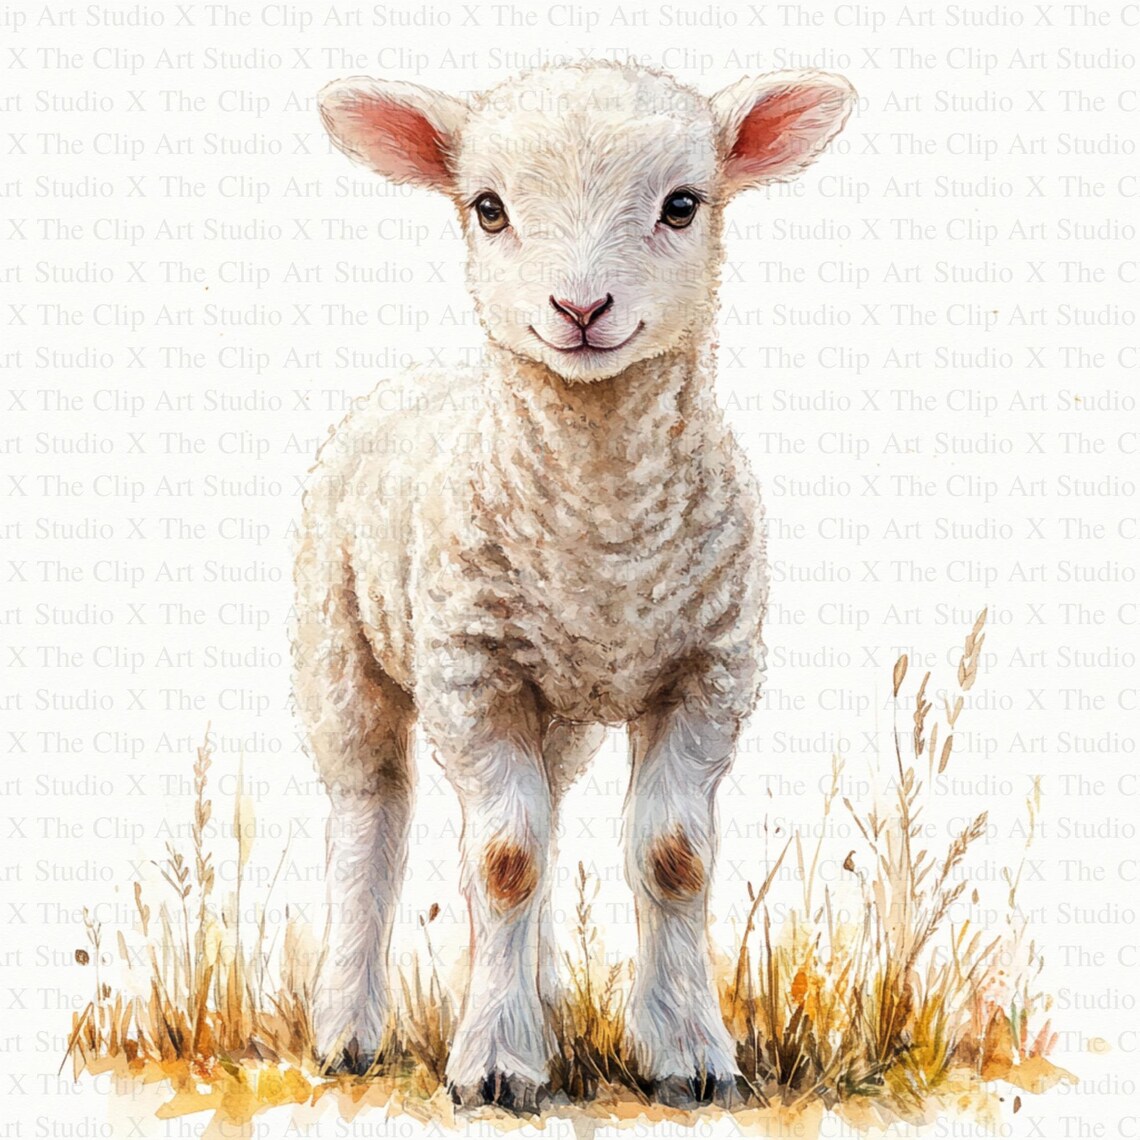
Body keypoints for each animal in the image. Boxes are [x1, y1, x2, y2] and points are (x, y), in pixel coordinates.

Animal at [293, 60, 854, 1111]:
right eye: (488, 208)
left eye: (682, 205)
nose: (580, 309)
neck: (604, 547)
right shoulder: (473, 673)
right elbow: (505, 862)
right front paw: (495, 1065)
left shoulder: (708, 671)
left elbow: (672, 857)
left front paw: (688, 1056)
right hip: (341, 652)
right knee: (369, 820)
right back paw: (346, 1028)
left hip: (559, 711)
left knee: (539, 812)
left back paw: (542, 992)